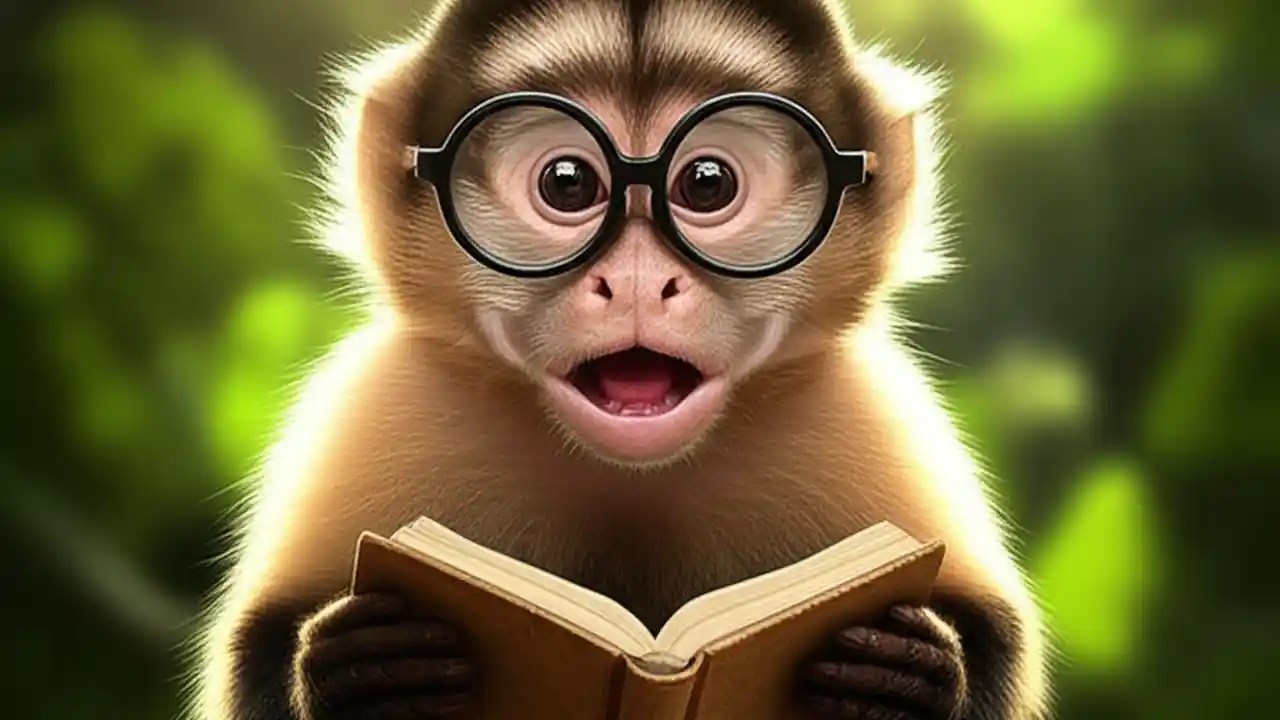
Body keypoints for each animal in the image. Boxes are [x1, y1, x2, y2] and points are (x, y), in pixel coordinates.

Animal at [186, 0, 1052, 719]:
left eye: (706, 182)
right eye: (569, 183)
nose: (636, 281)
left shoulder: (862, 398)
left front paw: (904, 670)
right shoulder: (383, 389)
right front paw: (369, 666)